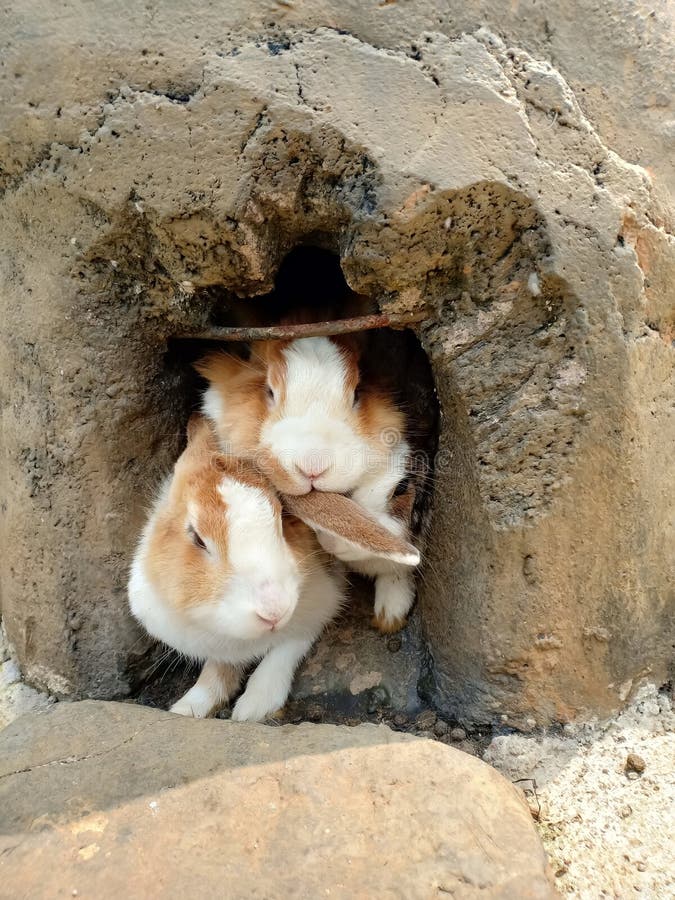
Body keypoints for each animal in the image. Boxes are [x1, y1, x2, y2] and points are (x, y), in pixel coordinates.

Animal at [128, 414, 346, 722]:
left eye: (282, 518)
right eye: (197, 538)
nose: (274, 612)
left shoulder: (321, 603)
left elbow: (288, 645)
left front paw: (255, 706)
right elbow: (218, 668)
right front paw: (189, 706)